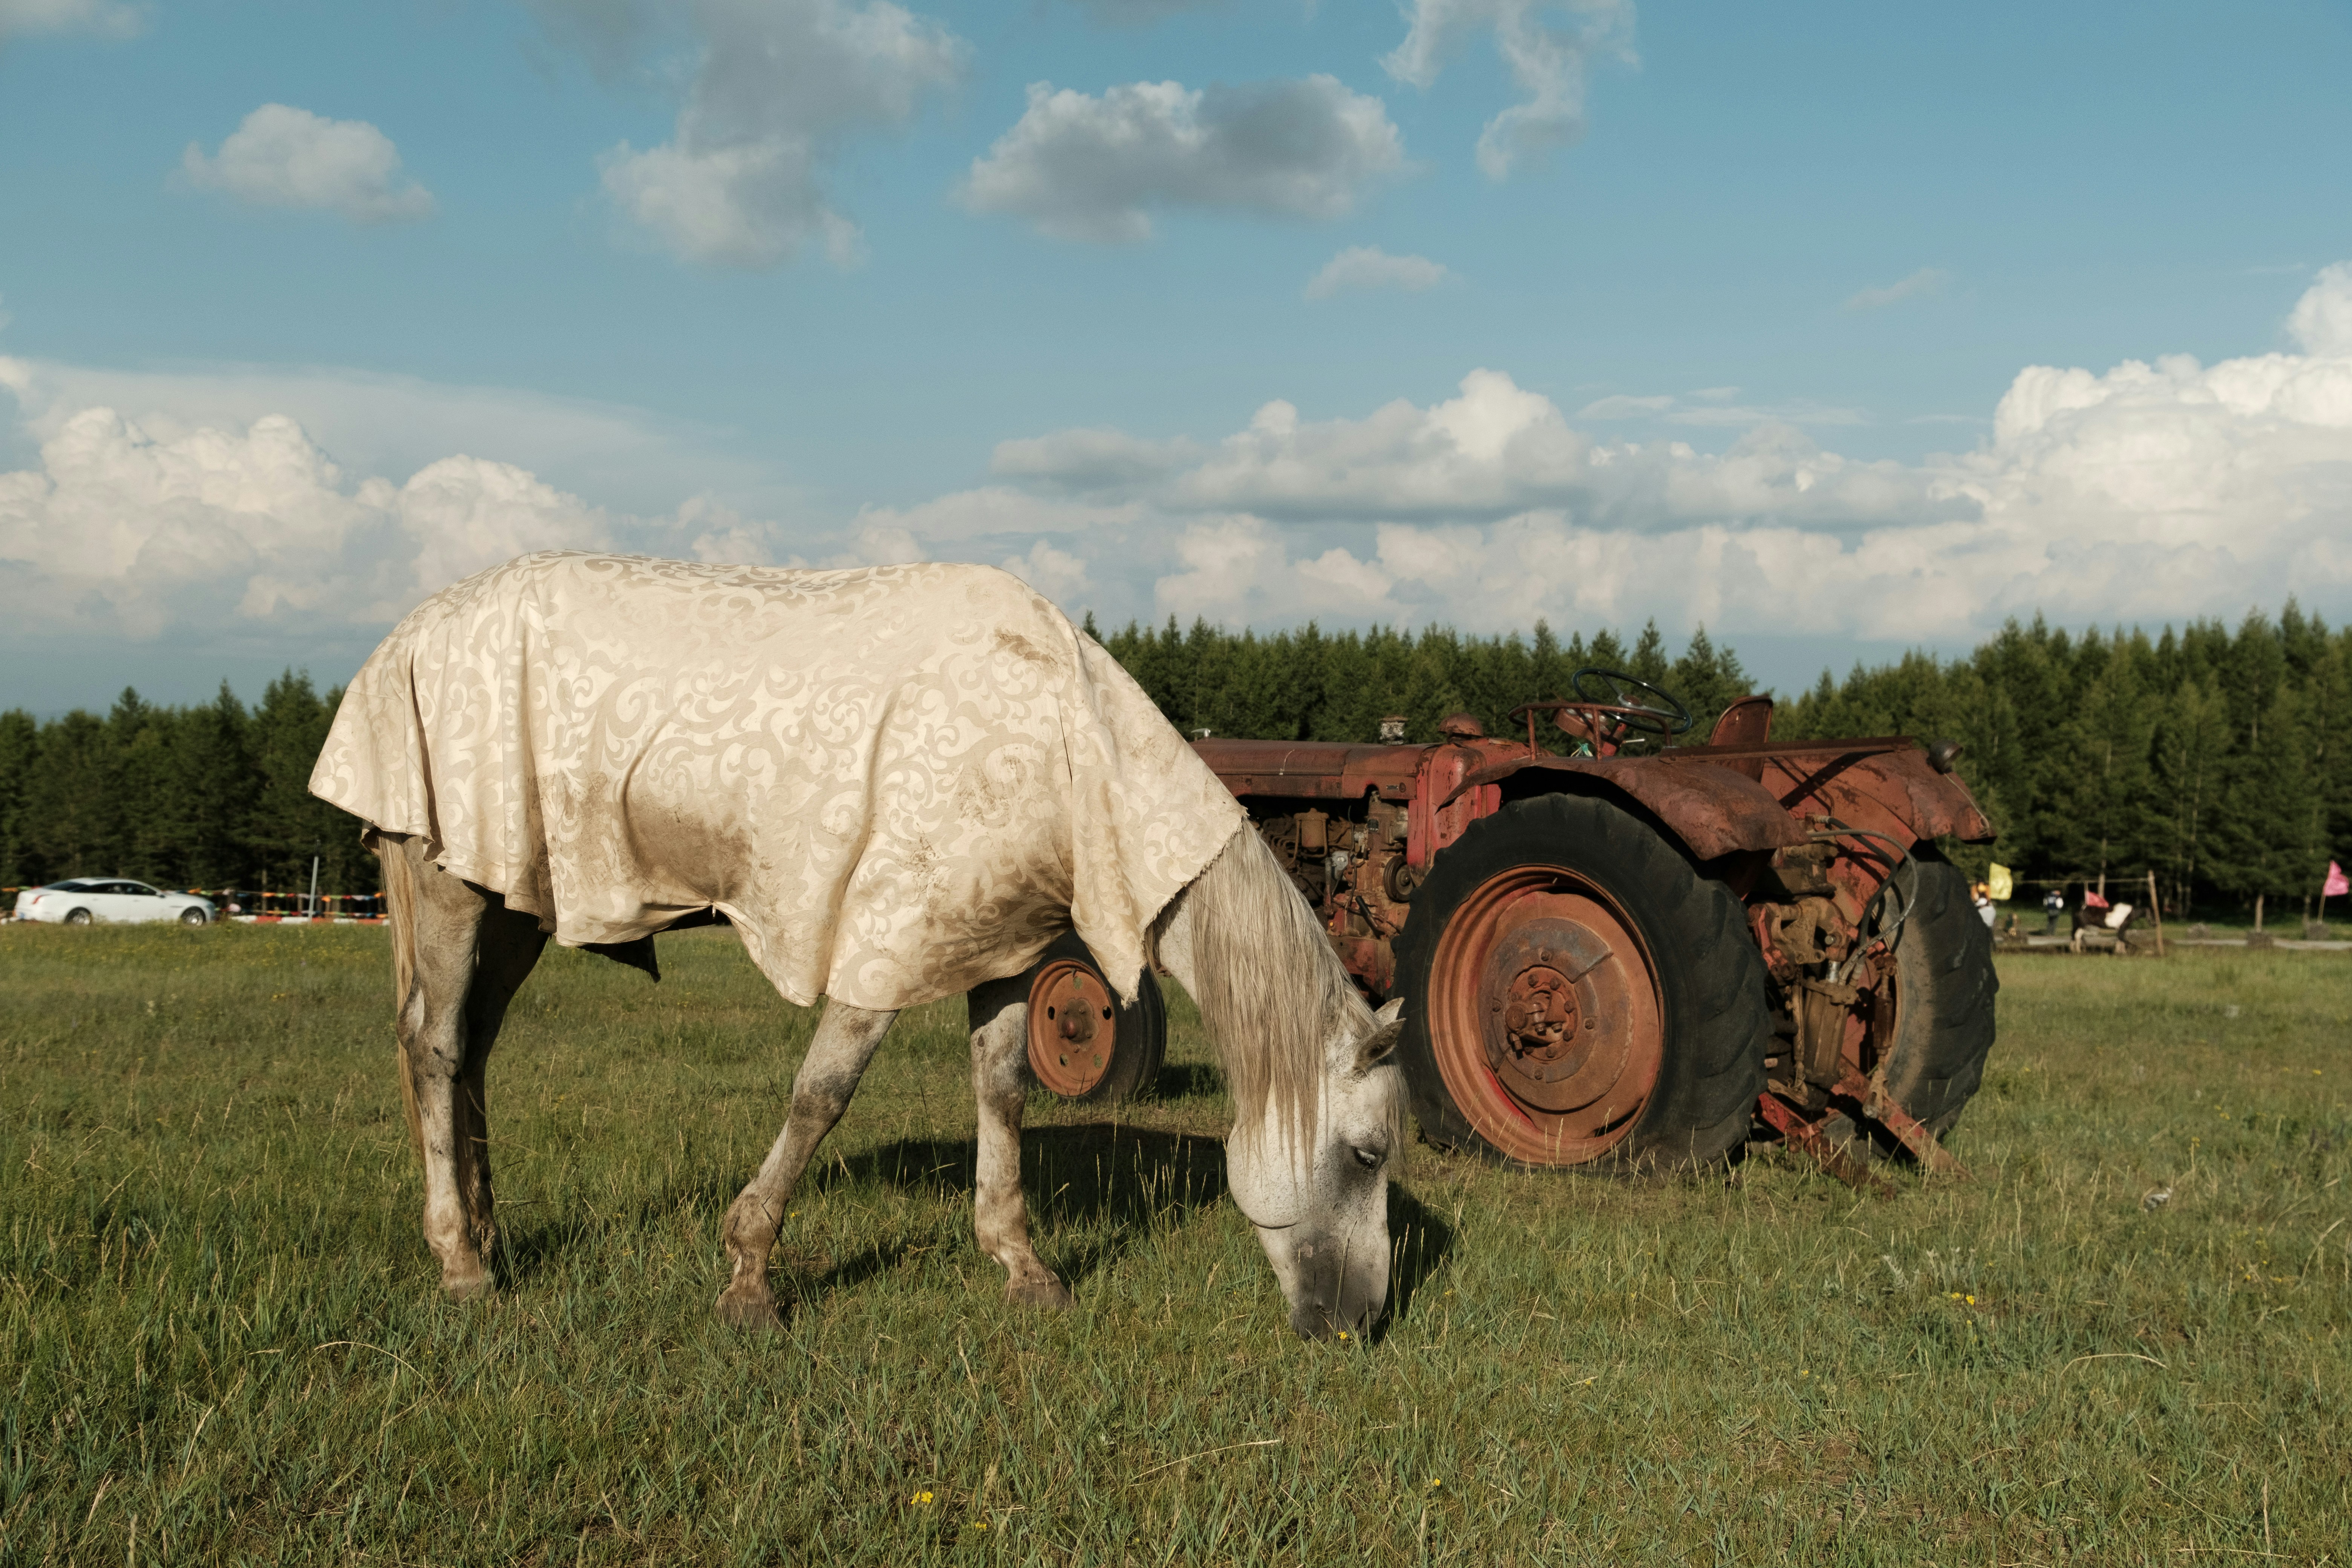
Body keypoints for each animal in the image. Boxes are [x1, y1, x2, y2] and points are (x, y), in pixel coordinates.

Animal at [319, 553, 1406, 1339]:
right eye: (1367, 1153)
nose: (1358, 1325)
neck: (1066, 744)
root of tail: (408, 633)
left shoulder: (997, 948)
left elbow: (1001, 1093)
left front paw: (1021, 1264)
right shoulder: (890, 944)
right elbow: (822, 1097)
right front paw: (750, 1276)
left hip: (513, 909)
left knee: (475, 1050)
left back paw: (492, 1235)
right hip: (451, 891)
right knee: (436, 1047)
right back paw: (462, 1262)